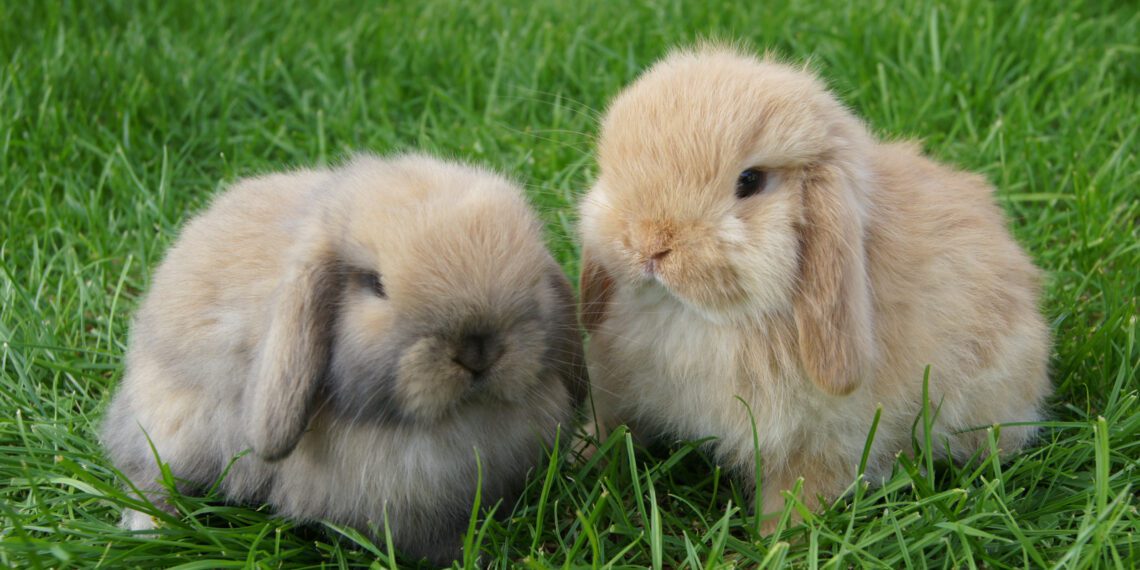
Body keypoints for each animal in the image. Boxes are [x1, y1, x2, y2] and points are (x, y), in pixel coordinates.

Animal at [101, 153, 588, 564]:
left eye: (534, 277)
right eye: (374, 284)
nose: (477, 351)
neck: (461, 417)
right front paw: (476, 557)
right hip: (169, 431)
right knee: (146, 479)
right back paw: (152, 529)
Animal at [577, 45, 1052, 529]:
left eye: (750, 181)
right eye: (612, 174)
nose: (650, 244)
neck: (694, 316)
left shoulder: (823, 439)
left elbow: (799, 490)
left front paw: (776, 535)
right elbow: (614, 427)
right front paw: (581, 452)